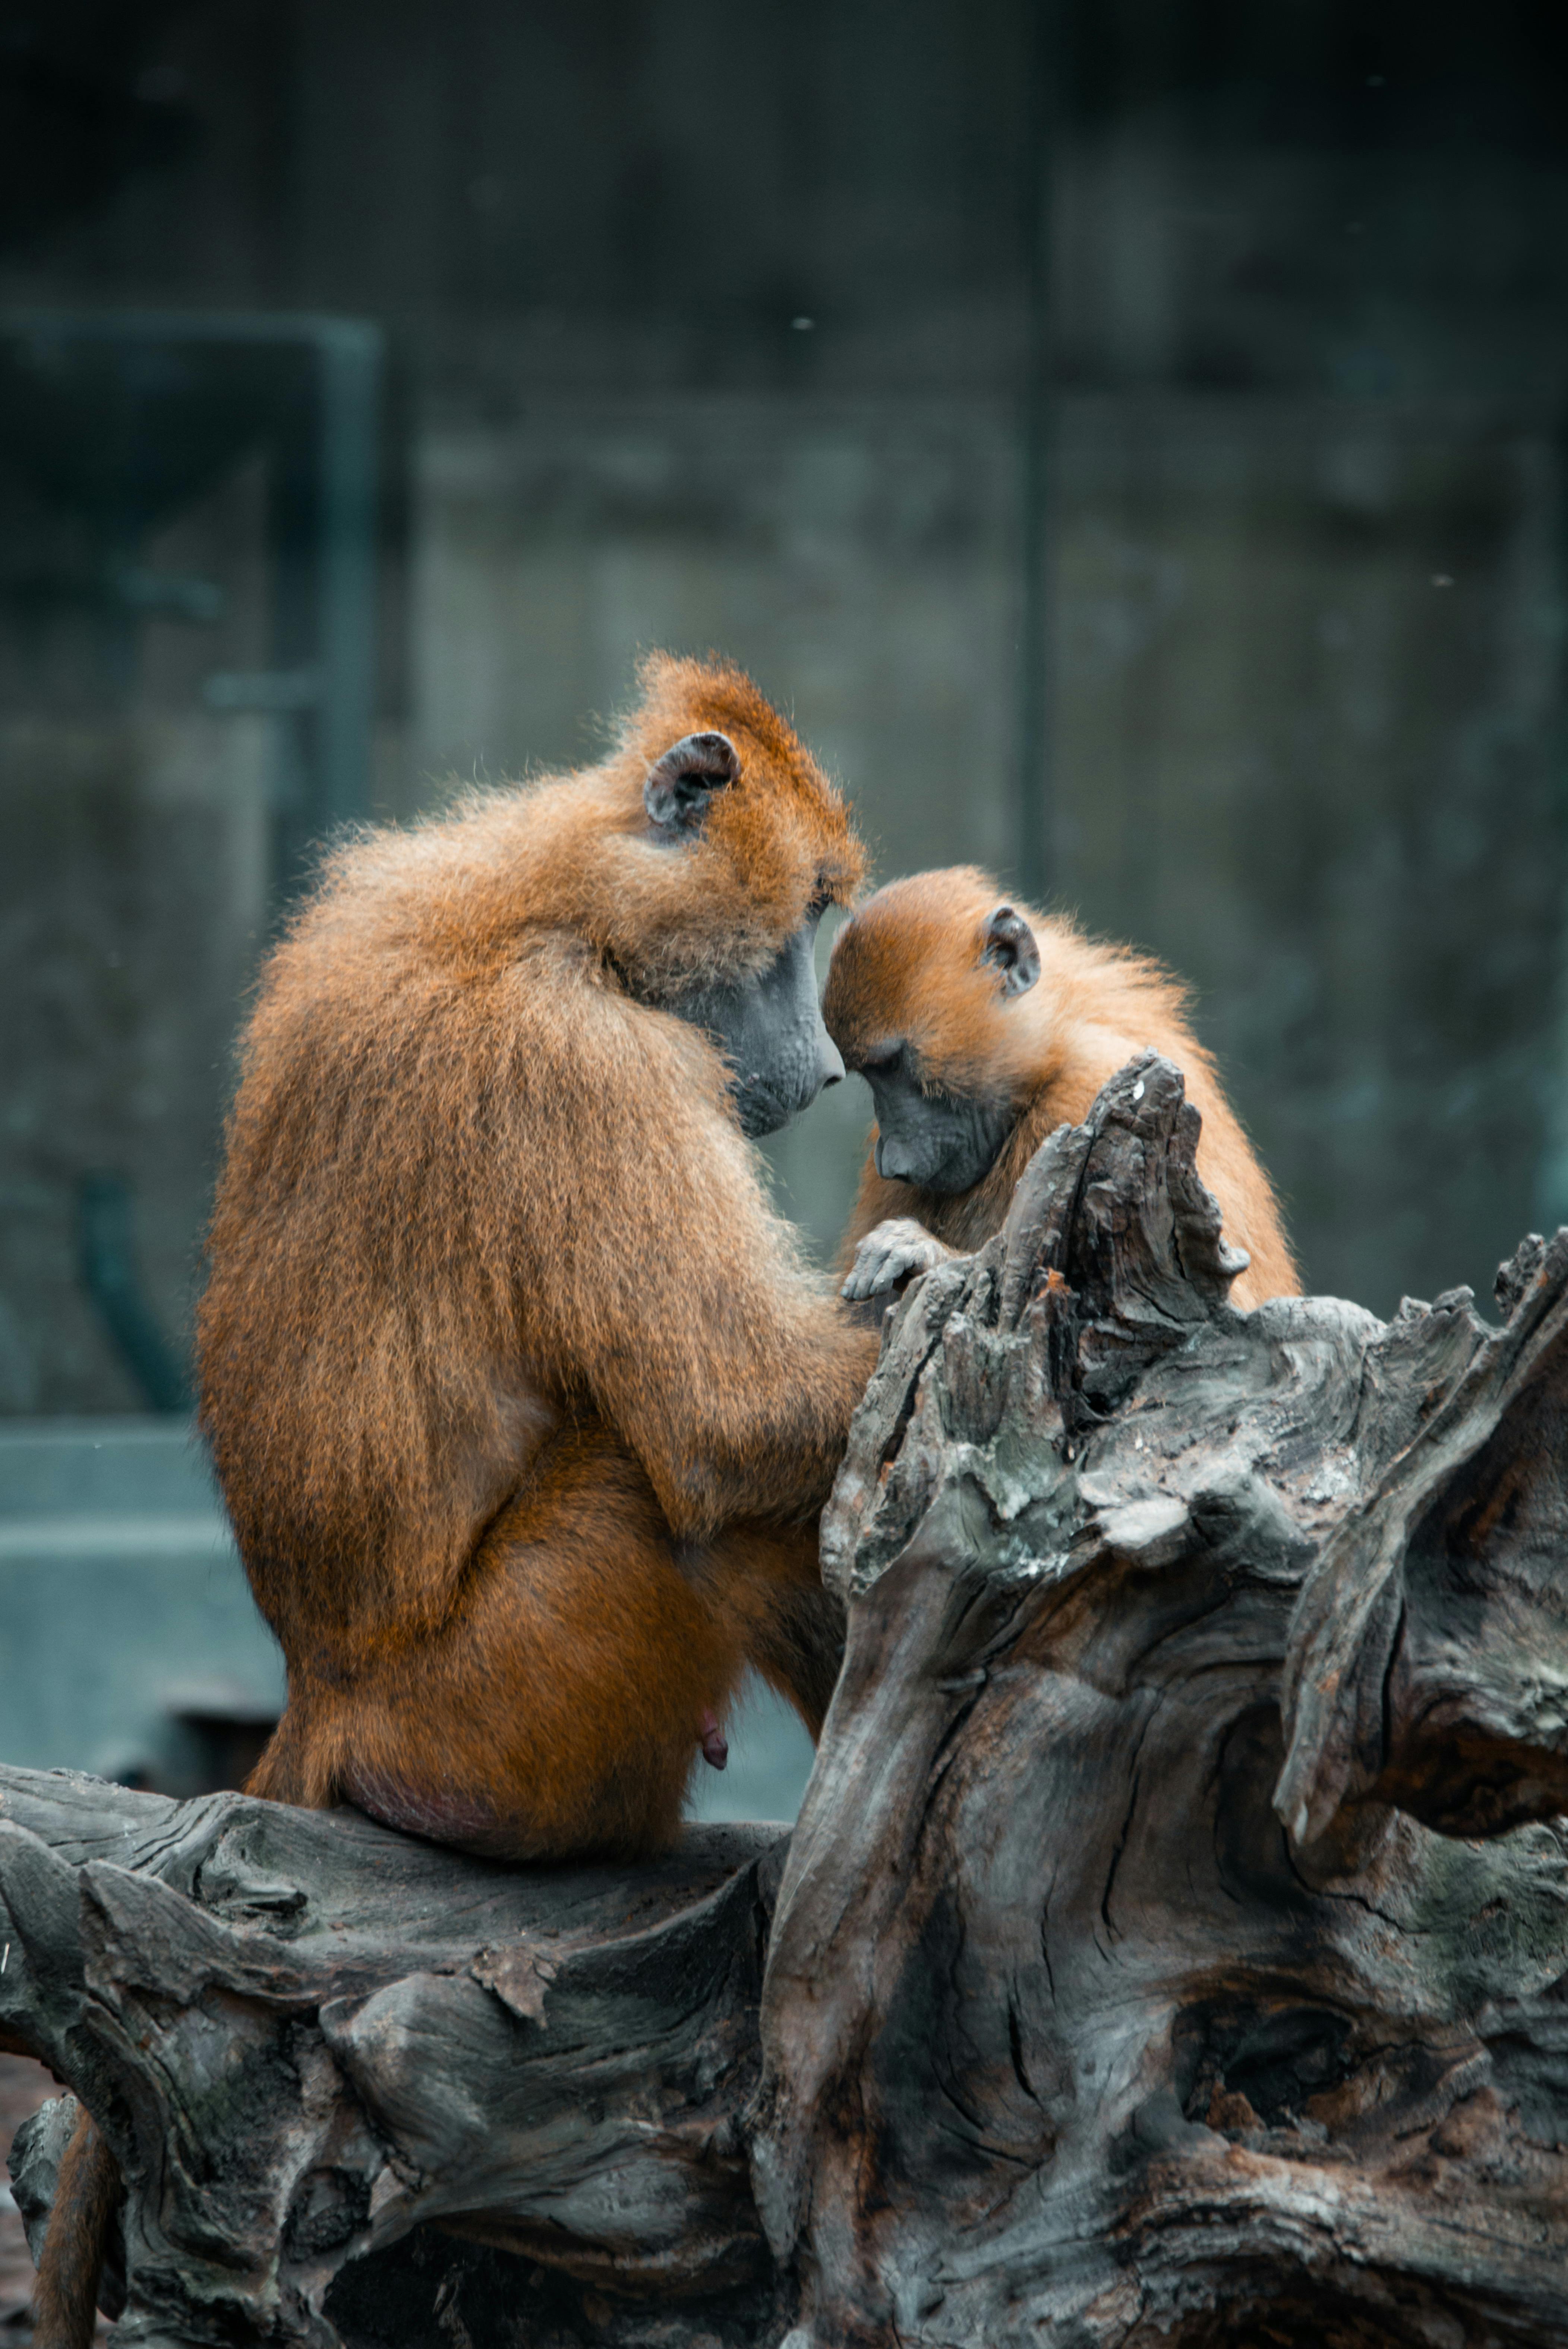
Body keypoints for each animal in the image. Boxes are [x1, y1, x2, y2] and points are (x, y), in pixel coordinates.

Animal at [821, 867, 1299, 1311]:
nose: (889, 1160)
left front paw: (921, 1253)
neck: (1052, 1052)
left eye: (892, 1066)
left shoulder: (1089, 1089)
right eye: (872, 1074)